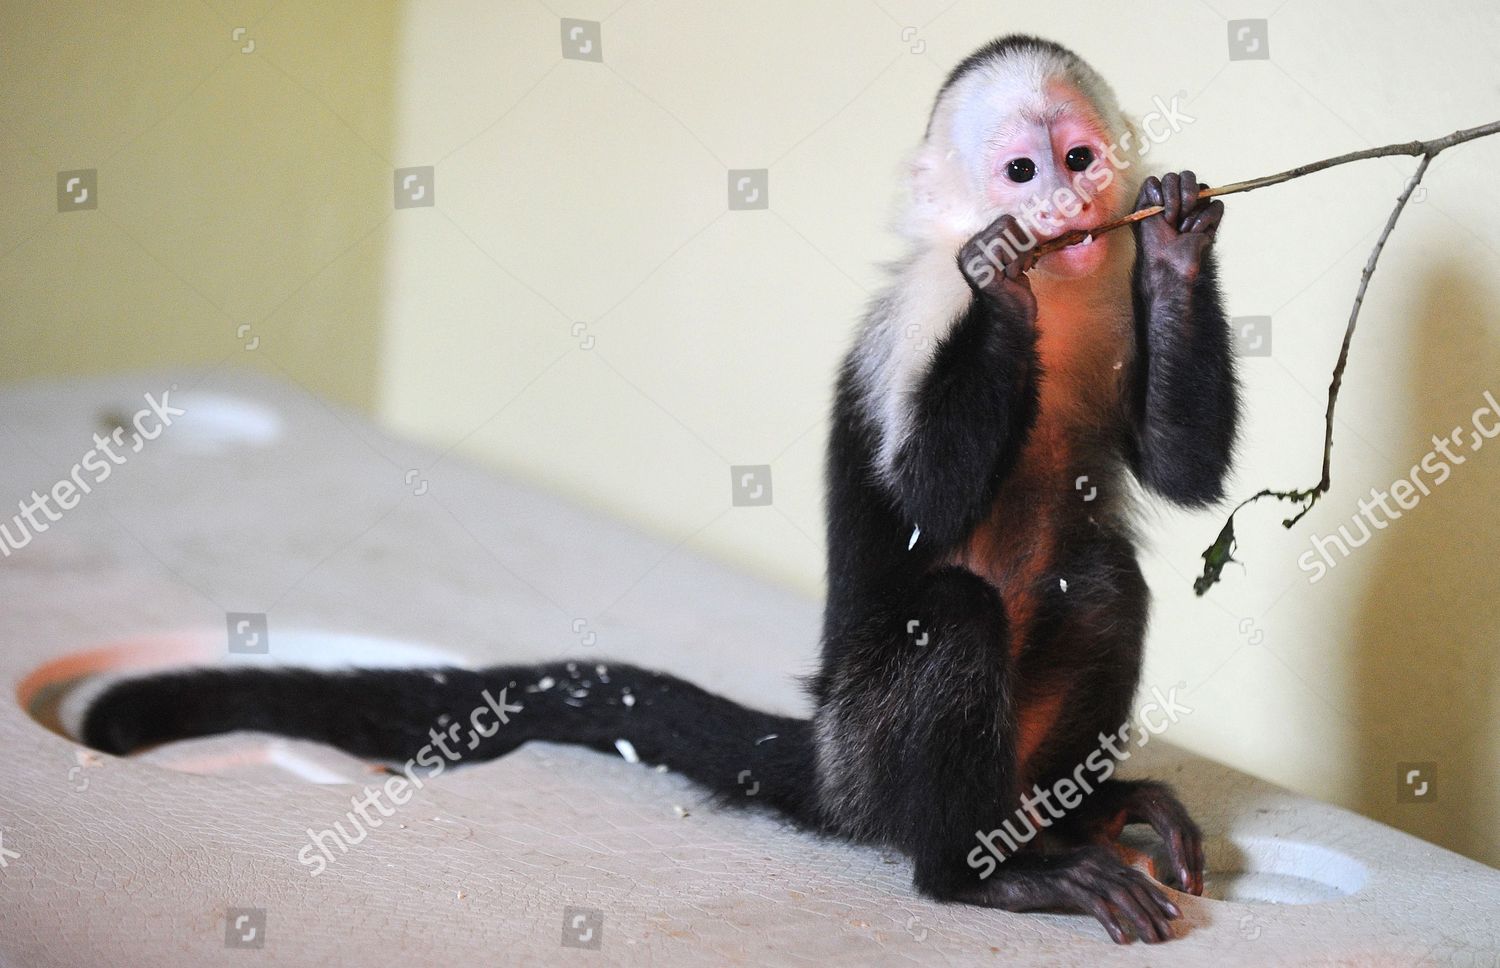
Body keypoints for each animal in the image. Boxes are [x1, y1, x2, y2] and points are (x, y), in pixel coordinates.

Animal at [71, 35, 1236, 945]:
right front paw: (999, 276)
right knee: (950, 617)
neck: (1065, 295)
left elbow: (1182, 472)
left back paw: (1075, 813)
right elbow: (924, 506)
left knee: (1101, 581)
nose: (1065, 202)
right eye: (1018, 171)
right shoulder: (917, 313)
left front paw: (1178, 240)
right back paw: (980, 871)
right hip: (868, 748)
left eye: (1080, 158)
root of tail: (825, 754)